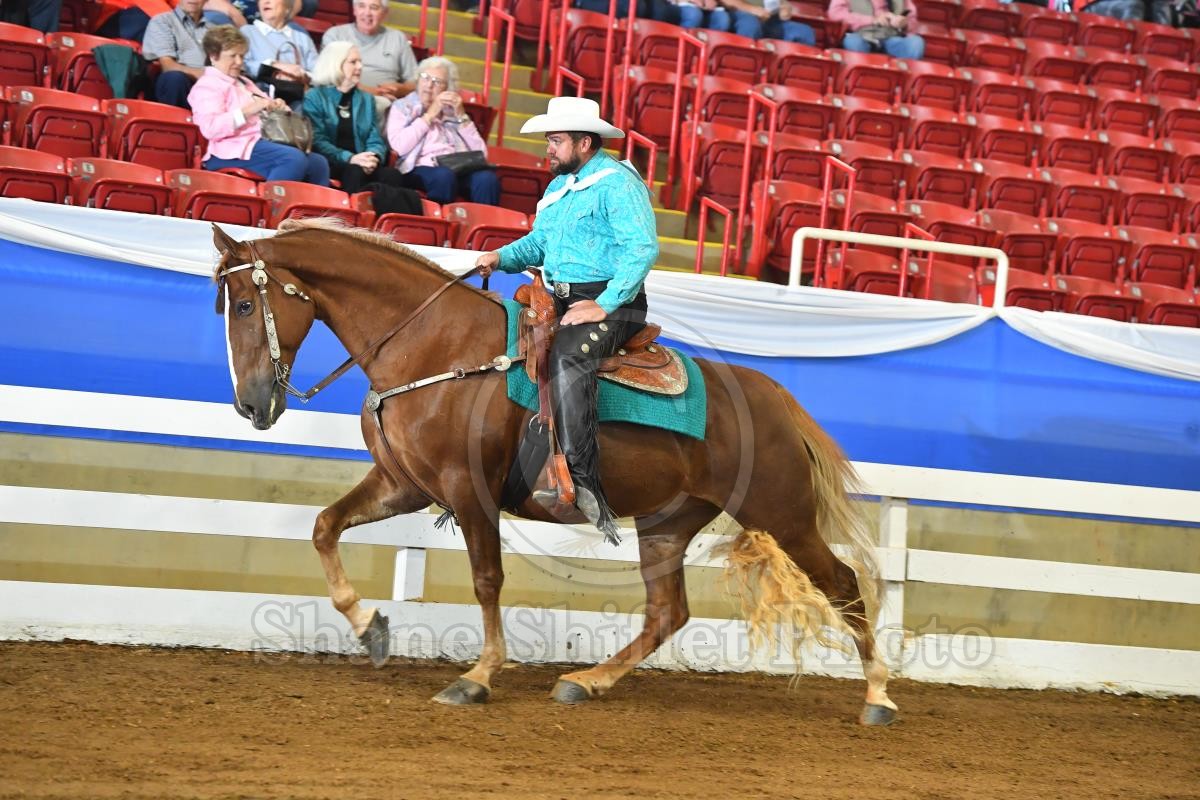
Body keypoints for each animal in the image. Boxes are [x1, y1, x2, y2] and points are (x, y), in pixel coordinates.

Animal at [210, 218, 899, 726]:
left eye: (244, 304)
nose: (250, 404)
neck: (433, 346)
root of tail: (773, 397)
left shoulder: (468, 491)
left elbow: (487, 579)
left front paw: (478, 677)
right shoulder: (403, 484)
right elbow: (325, 527)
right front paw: (369, 627)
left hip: (781, 511)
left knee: (844, 584)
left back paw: (879, 695)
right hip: (668, 522)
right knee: (667, 612)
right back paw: (587, 681)